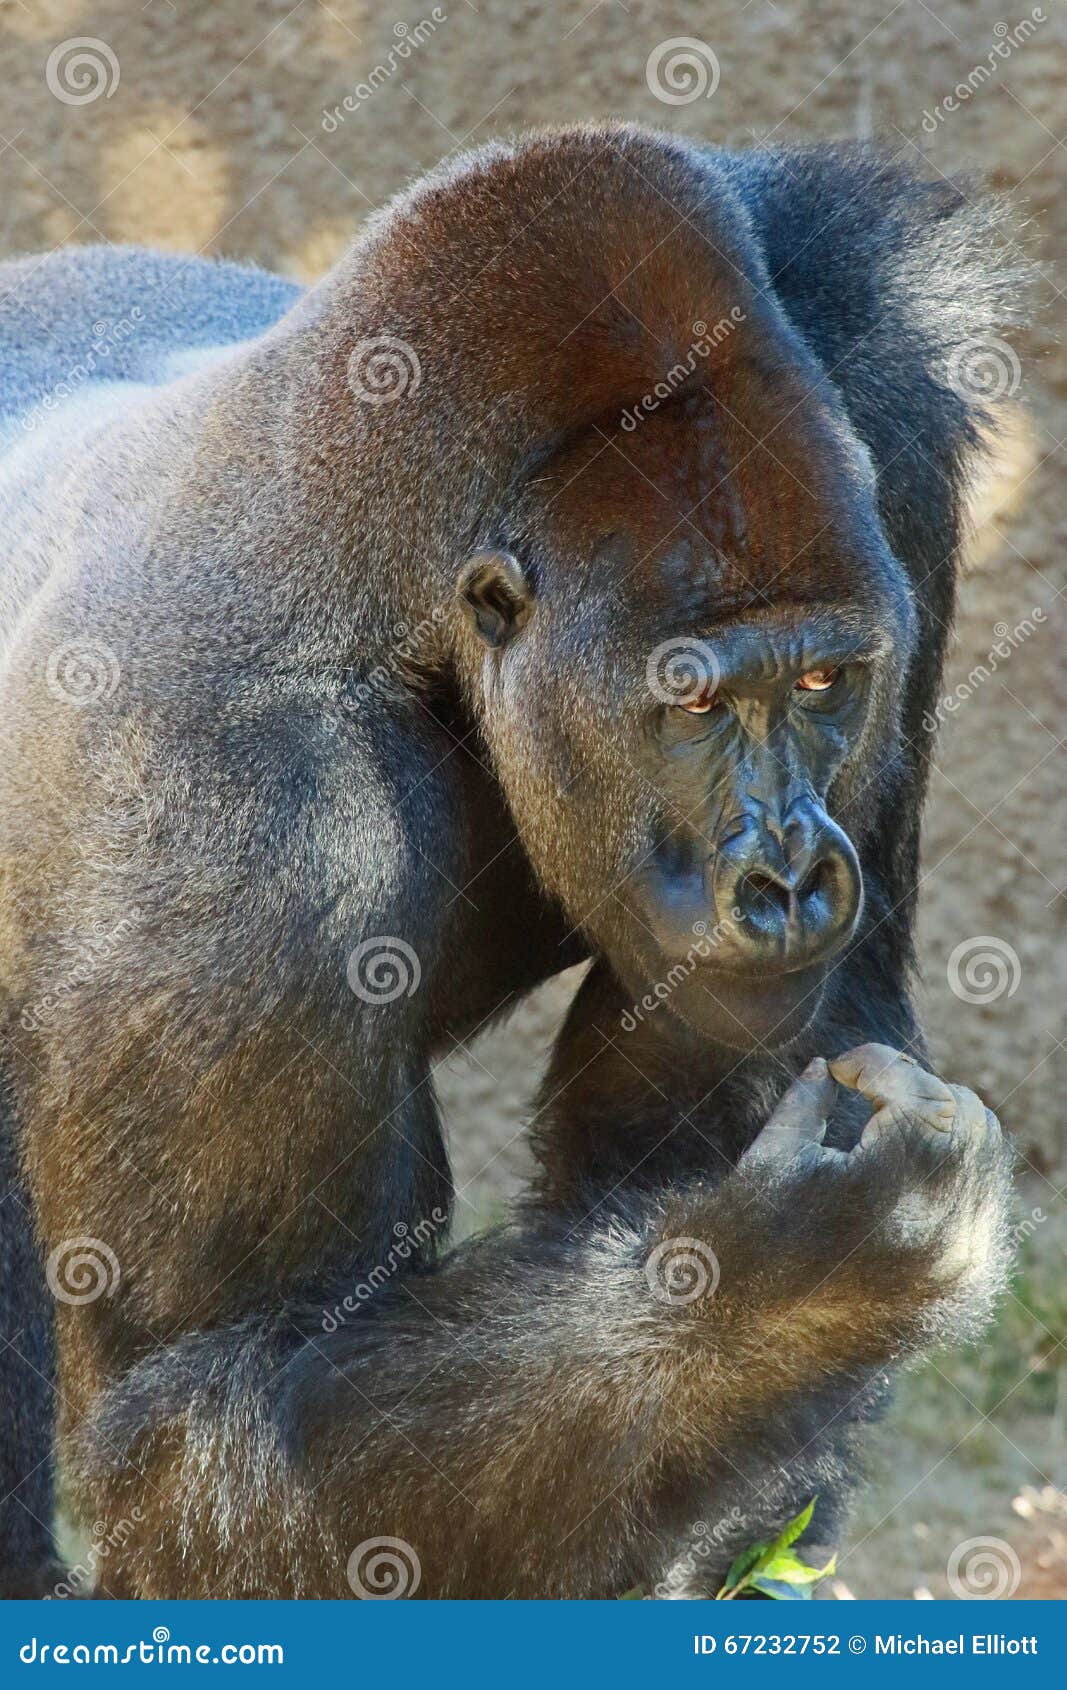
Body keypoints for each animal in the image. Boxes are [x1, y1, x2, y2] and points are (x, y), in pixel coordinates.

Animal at [0, 124, 1019, 1597]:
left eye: (826, 682)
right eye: (691, 704)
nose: (787, 882)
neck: (391, 572)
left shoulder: (887, 393)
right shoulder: (226, 803)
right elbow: (195, 1425)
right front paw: (803, 1280)